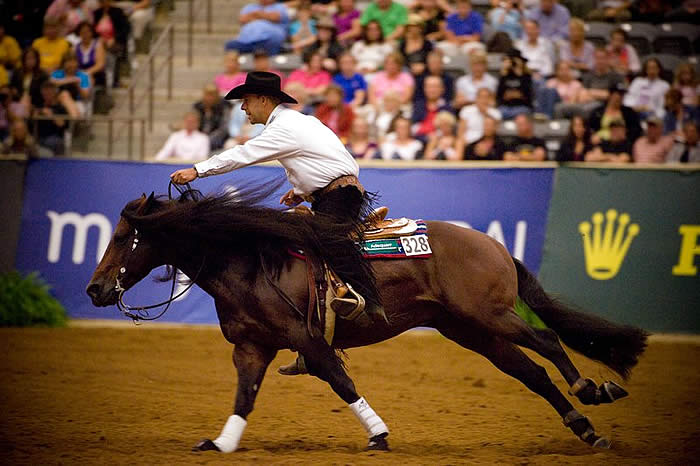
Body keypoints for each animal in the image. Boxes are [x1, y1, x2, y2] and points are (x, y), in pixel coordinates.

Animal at [86, 185, 648, 453]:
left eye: (124, 237)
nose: (94, 289)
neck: (249, 260)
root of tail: (492, 244)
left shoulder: (306, 339)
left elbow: (341, 382)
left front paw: (378, 434)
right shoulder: (251, 348)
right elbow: (244, 397)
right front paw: (220, 443)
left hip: (489, 315)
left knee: (548, 339)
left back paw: (592, 390)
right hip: (472, 332)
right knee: (531, 372)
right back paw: (586, 429)